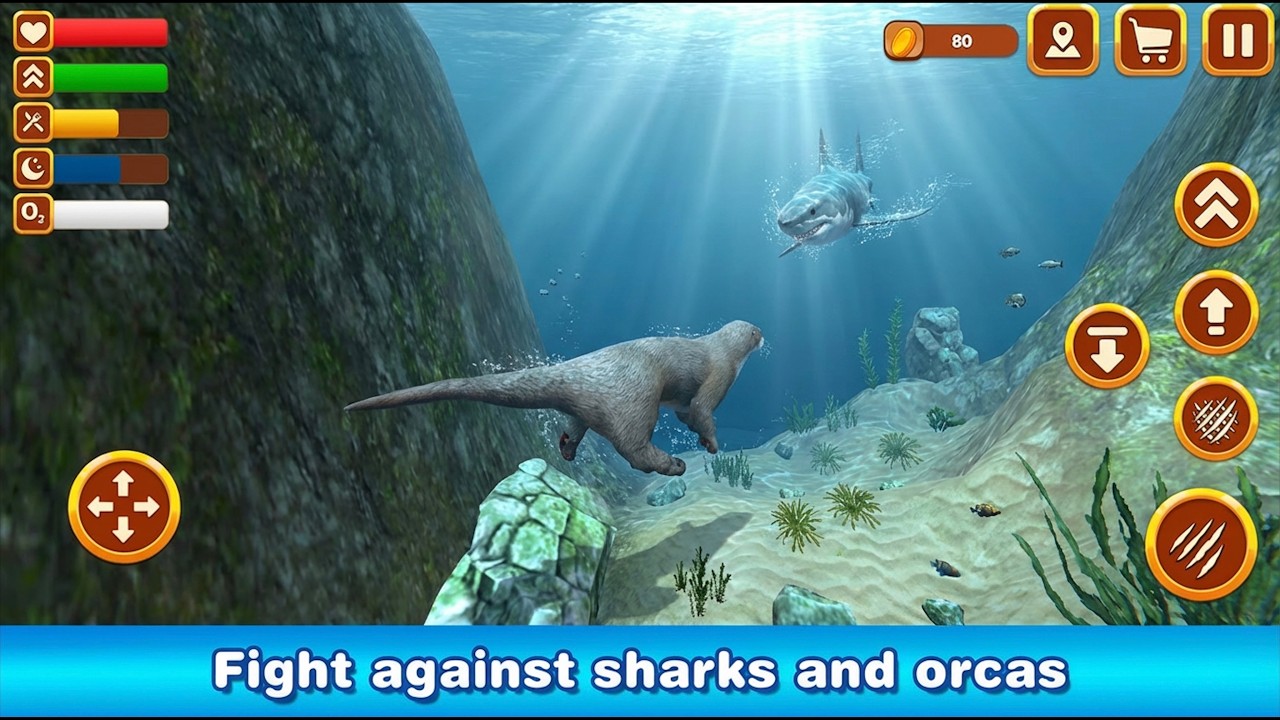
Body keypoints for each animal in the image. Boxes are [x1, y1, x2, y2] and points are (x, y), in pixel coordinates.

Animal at [344, 320, 765, 476]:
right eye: (755, 332)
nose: (764, 334)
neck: (720, 347)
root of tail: (579, 371)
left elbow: (686, 414)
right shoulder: (720, 374)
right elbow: (700, 412)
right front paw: (711, 445)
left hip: (589, 408)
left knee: (575, 423)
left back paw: (566, 447)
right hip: (635, 402)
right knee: (634, 448)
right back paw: (671, 464)